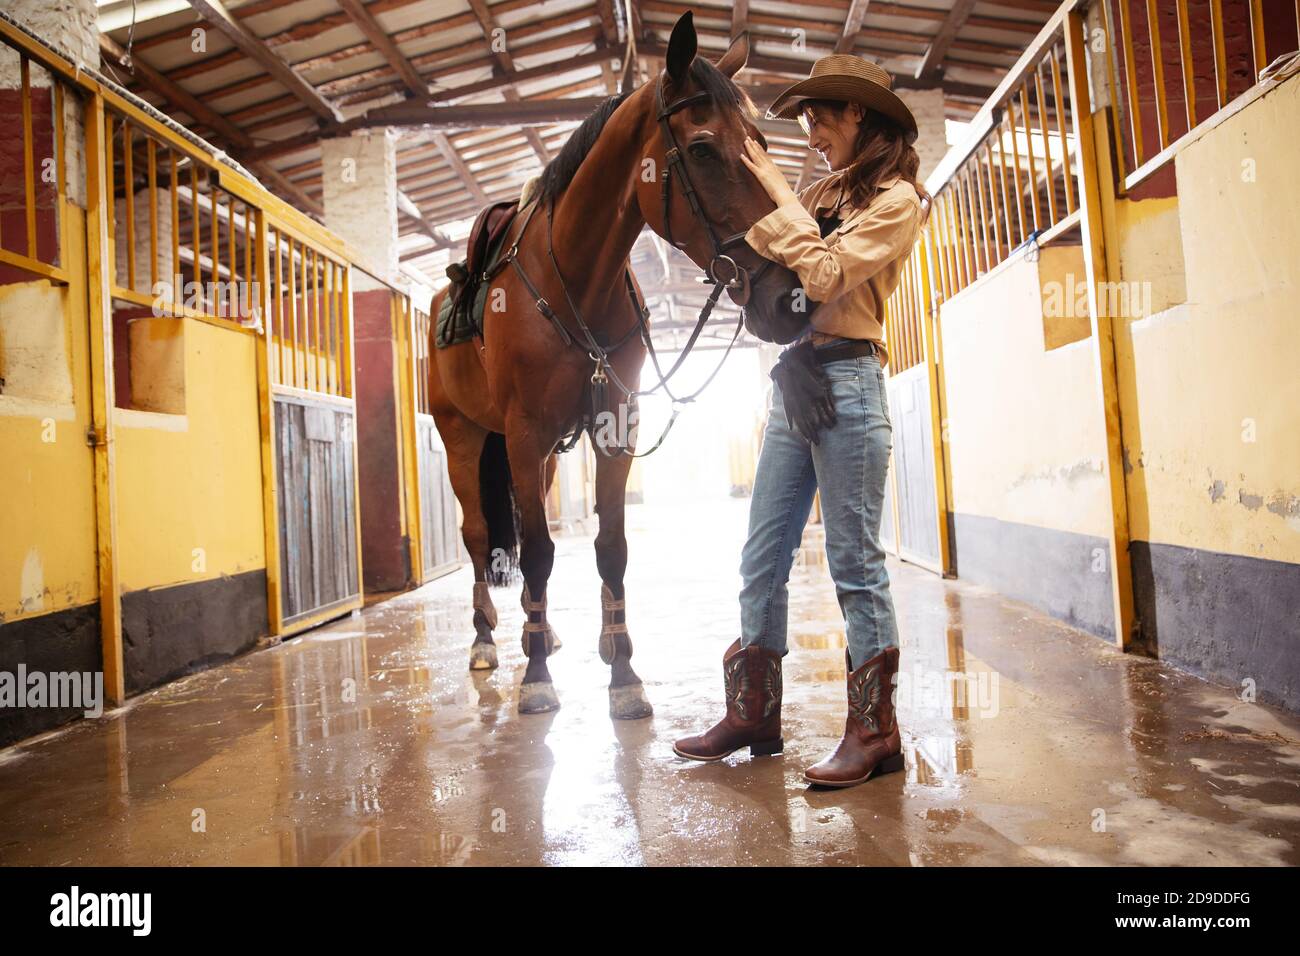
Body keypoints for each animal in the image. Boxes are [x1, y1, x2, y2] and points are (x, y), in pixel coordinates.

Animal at [427, 12, 806, 718]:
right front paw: (536, 679)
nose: (788, 295)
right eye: (704, 149)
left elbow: (610, 546)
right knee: (479, 535)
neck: (573, 275)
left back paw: (541, 630)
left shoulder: (614, 424)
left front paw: (623, 671)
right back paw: (489, 642)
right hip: (467, 436)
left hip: (542, 456)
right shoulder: (523, 432)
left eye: (762, 142)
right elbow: (539, 550)